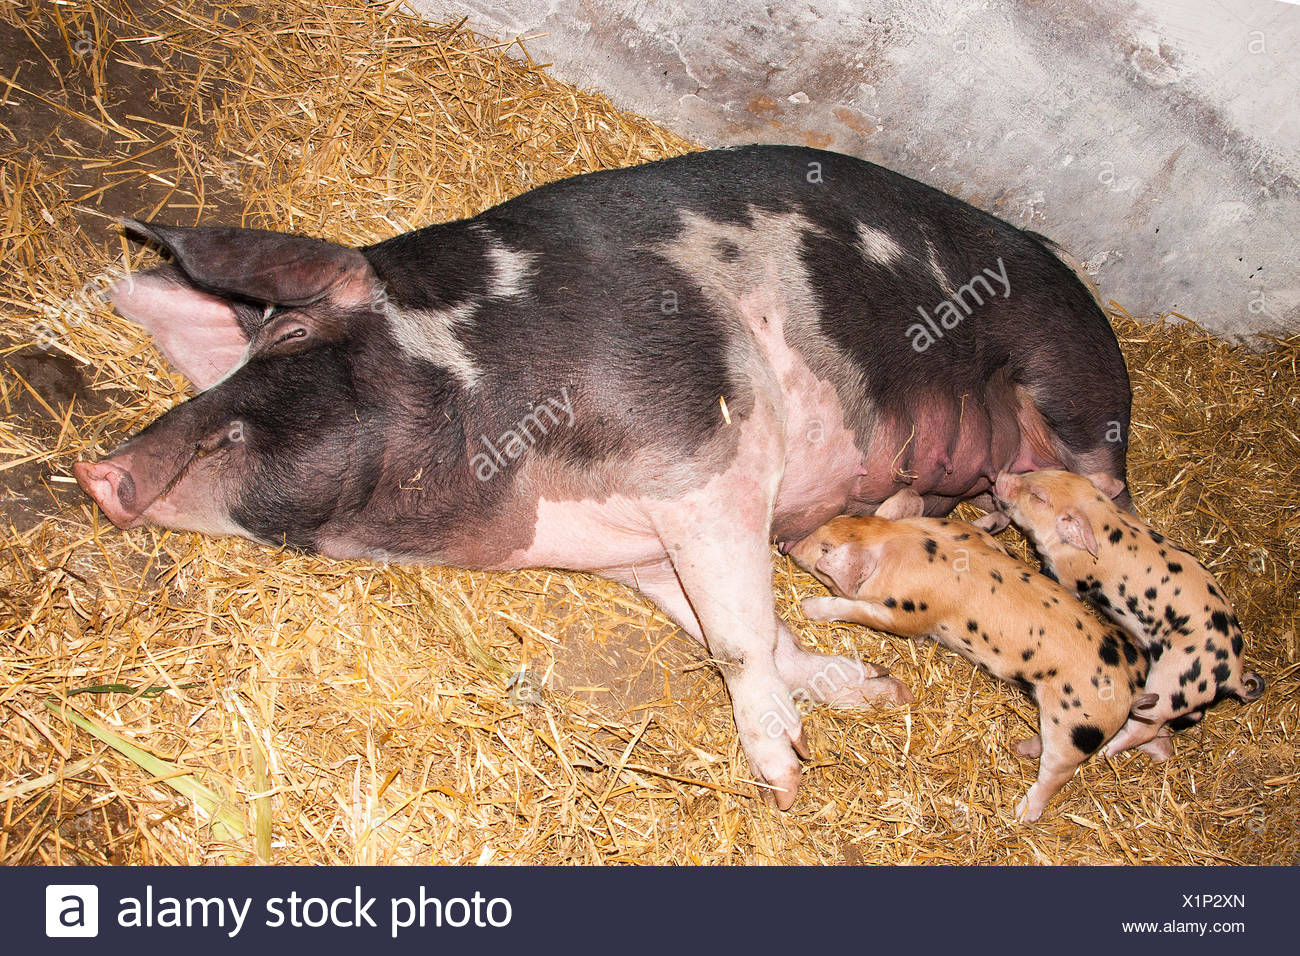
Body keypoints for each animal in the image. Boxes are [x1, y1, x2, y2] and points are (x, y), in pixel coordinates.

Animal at [789, 489, 1152, 821]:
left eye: (825, 550)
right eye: (836, 520)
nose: (789, 546)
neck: (901, 542)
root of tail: (1130, 689)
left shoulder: (908, 615)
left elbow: (858, 609)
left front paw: (809, 608)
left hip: (1076, 722)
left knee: (1058, 771)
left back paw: (1020, 813)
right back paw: (1022, 749)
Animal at [994, 469, 1266, 761]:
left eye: (1039, 497)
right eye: (1039, 472)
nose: (1002, 475)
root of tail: (1233, 676)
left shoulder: (1068, 576)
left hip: (1172, 682)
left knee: (1146, 727)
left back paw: (1106, 752)